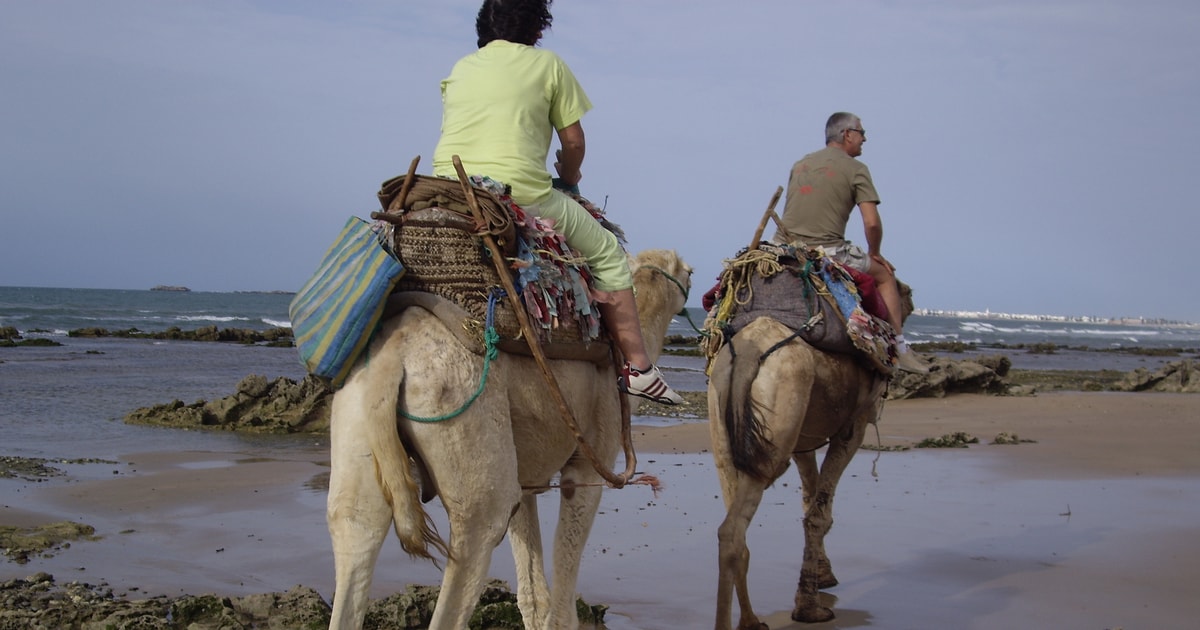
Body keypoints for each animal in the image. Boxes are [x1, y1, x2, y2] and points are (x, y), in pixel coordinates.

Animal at [325, 248, 692, 630]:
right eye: (688, 271)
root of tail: (393, 358)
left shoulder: (524, 476)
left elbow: (533, 596)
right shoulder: (592, 458)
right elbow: (562, 605)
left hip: (356, 418)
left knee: (357, 525)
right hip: (463, 416)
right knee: (479, 531)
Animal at [708, 304, 906, 628]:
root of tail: (749, 356)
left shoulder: (803, 440)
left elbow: (809, 499)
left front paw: (823, 575)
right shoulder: (853, 427)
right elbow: (819, 515)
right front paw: (810, 609)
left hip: (723, 422)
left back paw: (751, 619)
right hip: (780, 412)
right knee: (732, 529)